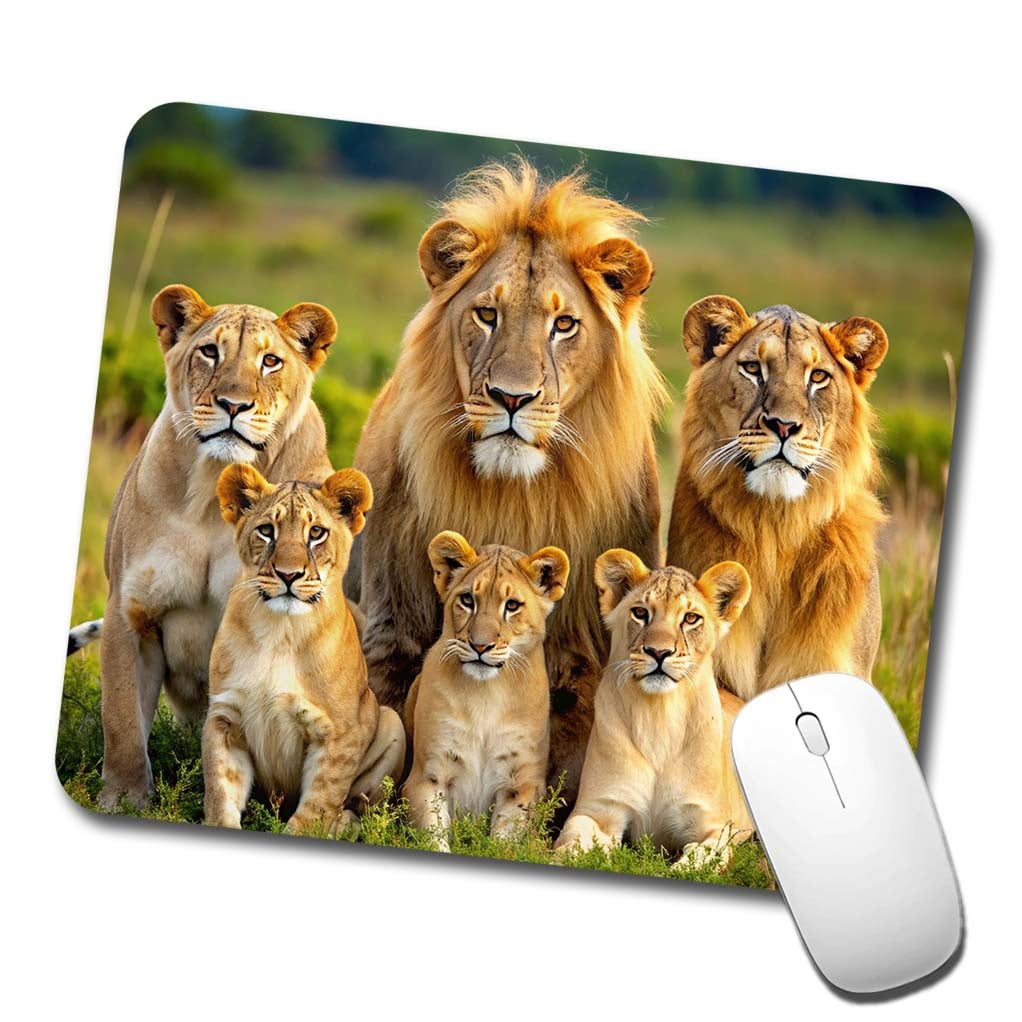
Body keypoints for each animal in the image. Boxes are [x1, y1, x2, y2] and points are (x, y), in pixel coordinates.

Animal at [94, 284, 337, 809]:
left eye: (270, 361)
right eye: (210, 352)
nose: (233, 404)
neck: (209, 495)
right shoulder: (130, 614)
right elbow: (121, 722)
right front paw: (123, 799)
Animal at [203, 465, 404, 834]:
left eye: (316, 533)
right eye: (266, 531)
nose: (288, 575)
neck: (280, 633)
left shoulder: (340, 734)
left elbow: (316, 807)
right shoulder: (225, 718)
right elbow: (219, 795)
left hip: (390, 720)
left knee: (362, 809)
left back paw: (345, 824)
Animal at [349, 160, 668, 800]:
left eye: (563, 324)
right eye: (487, 314)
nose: (512, 398)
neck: (513, 494)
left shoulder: (586, 652)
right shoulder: (394, 622)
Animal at [403, 532, 569, 850]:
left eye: (512, 606)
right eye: (468, 600)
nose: (480, 646)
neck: (486, 694)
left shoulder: (522, 784)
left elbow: (504, 841)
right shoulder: (427, 776)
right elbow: (434, 837)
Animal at [555, 551, 754, 867]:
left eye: (691, 618)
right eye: (640, 613)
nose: (659, 652)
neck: (658, 716)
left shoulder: (713, 824)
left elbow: (704, 857)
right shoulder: (600, 808)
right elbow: (574, 836)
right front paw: (567, 857)